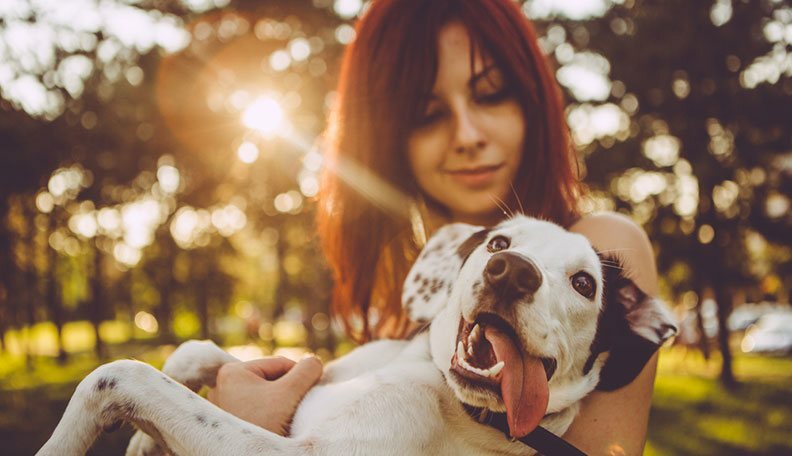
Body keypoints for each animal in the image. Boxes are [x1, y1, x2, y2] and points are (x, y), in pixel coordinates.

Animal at [37, 216, 676, 454]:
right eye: (499, 242)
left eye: (585, 283)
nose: (511, 270)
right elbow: (194, 353)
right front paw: (144, 441)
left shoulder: (304, 453)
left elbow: (119, 375)